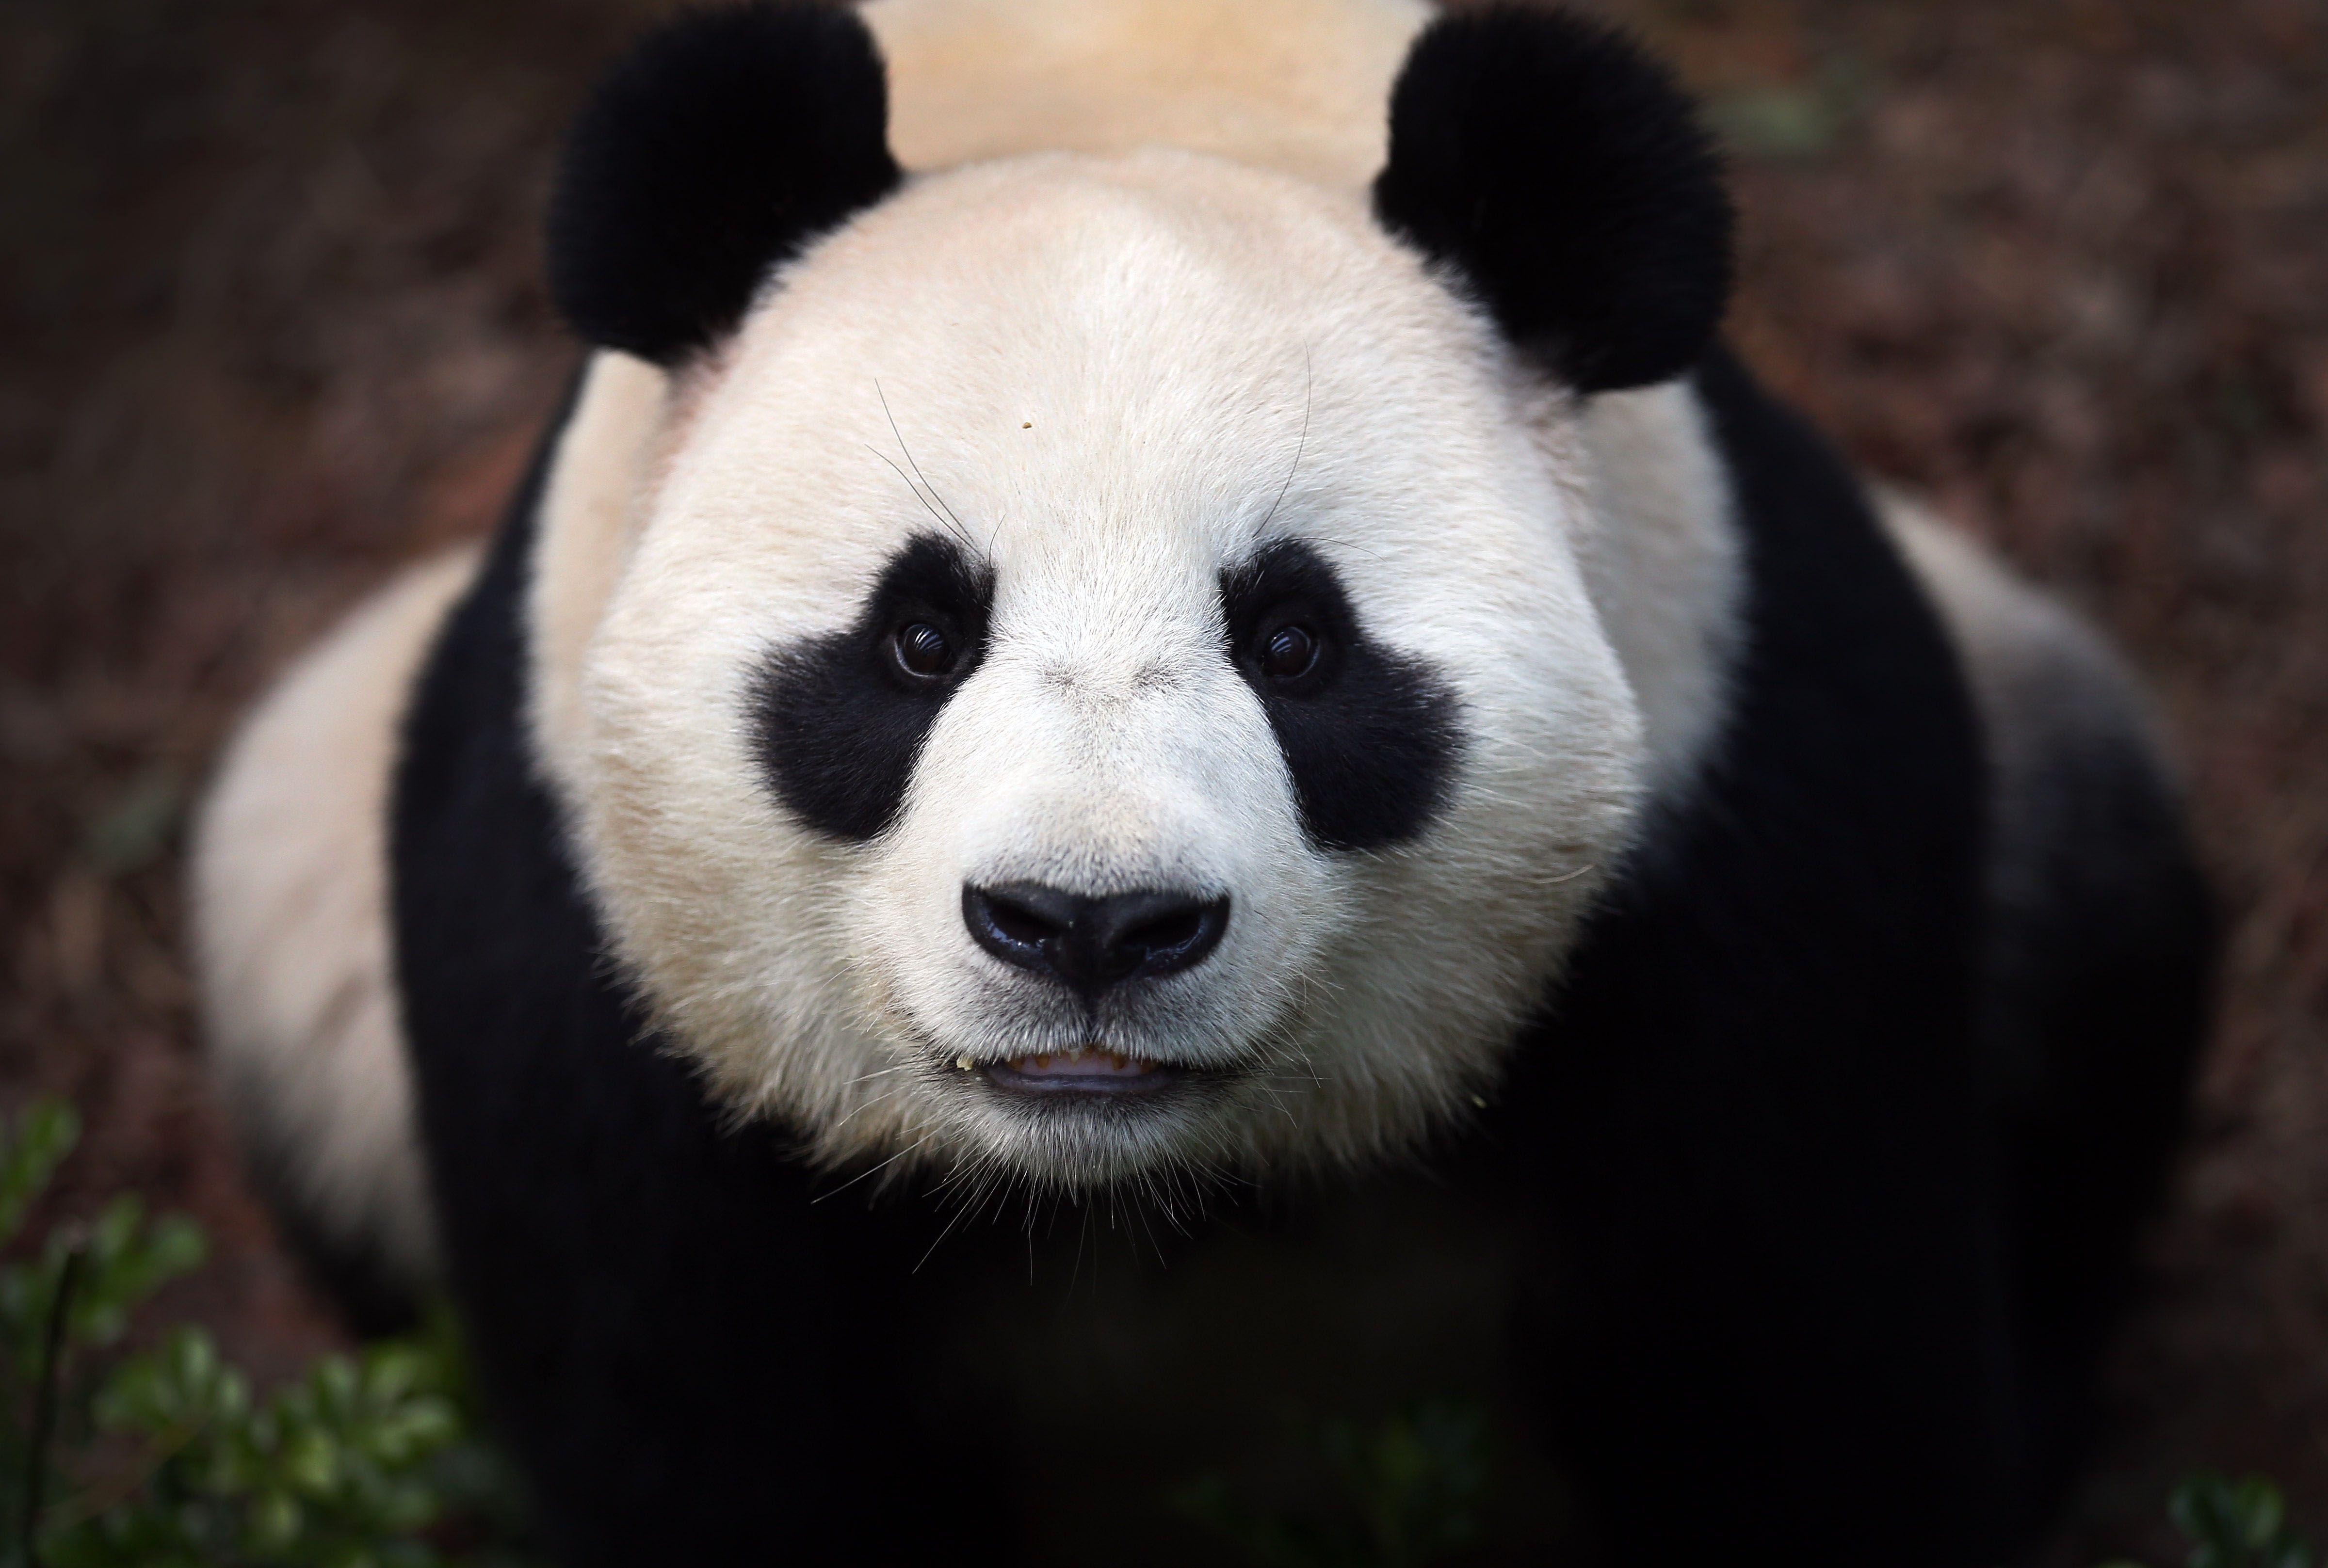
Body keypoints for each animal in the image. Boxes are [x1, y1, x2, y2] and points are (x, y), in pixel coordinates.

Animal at [189, 1, 2212, 1563]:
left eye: (1297, 642)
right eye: (917, 638)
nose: (1090, 925)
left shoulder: (1744, 834)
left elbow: (1809, 1377)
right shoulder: (577, 961)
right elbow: (703, 1429)